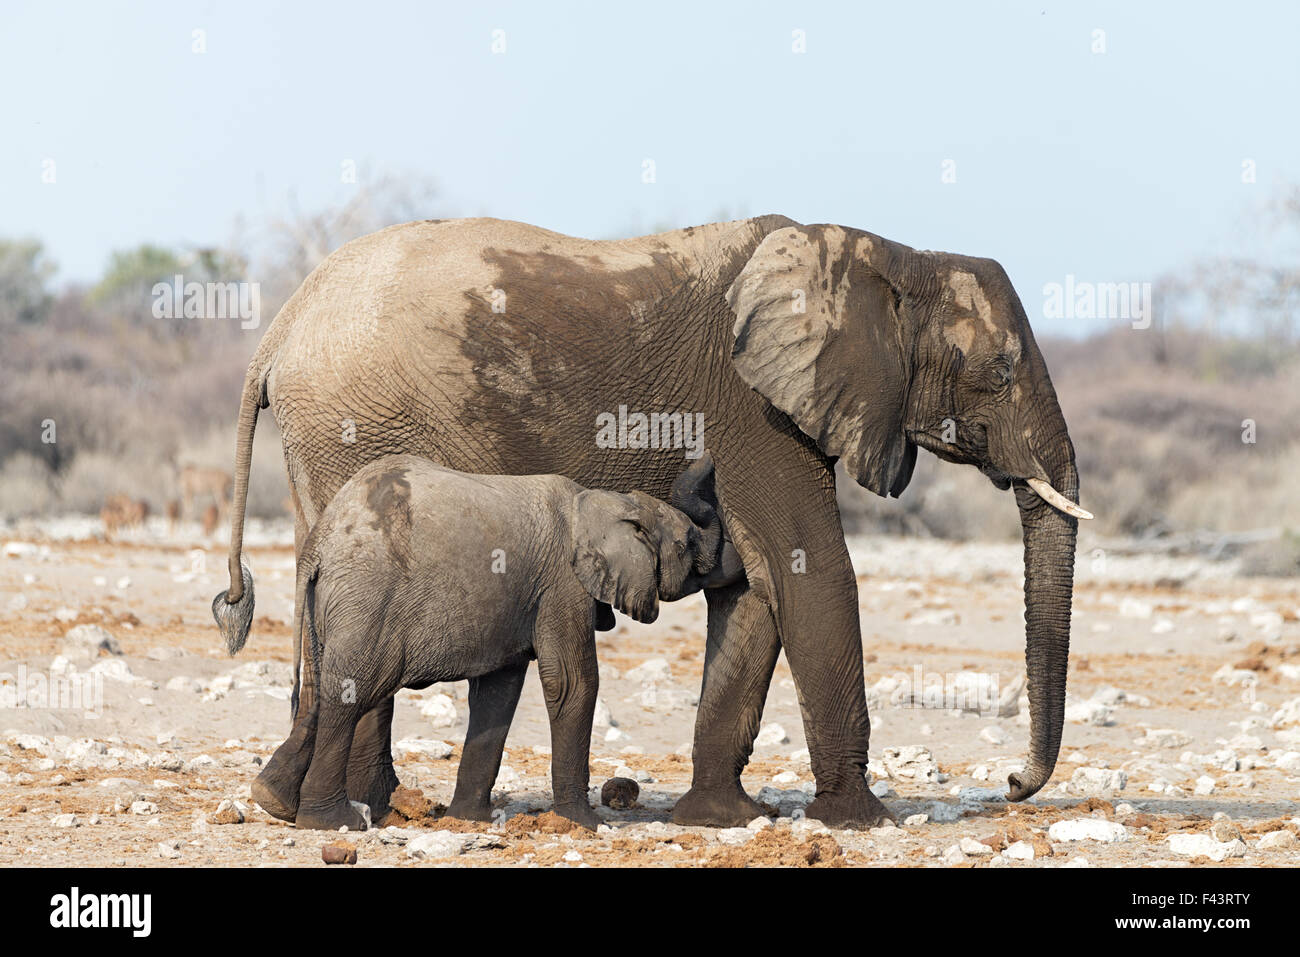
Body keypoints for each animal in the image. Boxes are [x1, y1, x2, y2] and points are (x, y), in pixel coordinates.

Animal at [250, 454, 732, 831]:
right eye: (688, 543)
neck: (602, 501)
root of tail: (321, 541)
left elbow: (498, 692)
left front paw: (468, 820)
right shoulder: (562, 584)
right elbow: (572, 684)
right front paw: (584, 825)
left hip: (334, 603)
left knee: (325, 687)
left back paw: (274, 802)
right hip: (369, 596)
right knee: (353, 693)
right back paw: (333, 822)